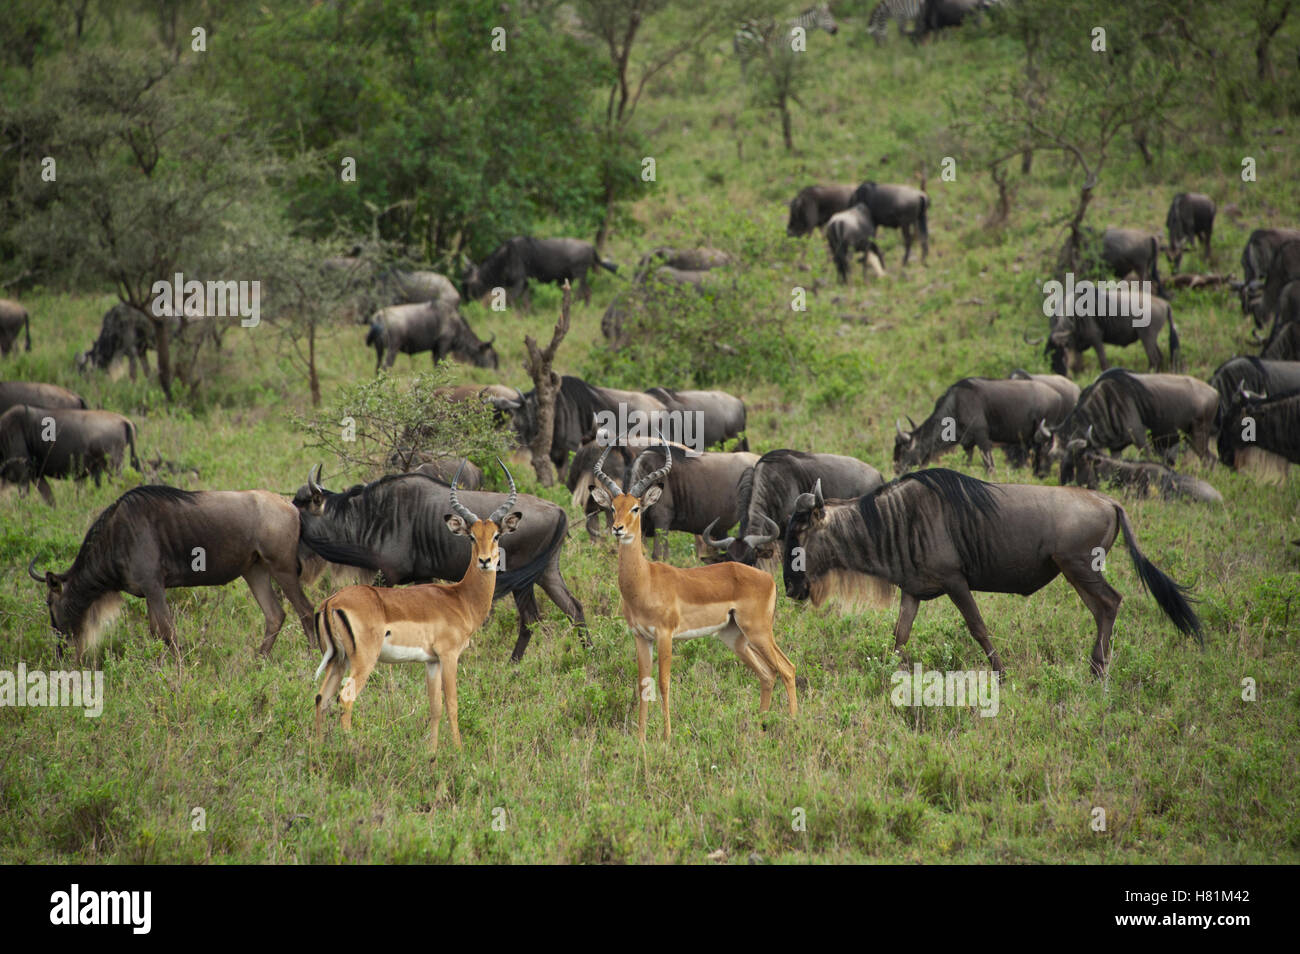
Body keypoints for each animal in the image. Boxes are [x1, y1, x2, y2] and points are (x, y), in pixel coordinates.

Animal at [312, 461, 521, 753]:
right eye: (471, 536)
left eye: (497, 535)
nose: (485, 561)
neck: (460, 599)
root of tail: (332, 602)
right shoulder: (449, 656)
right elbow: (452, 704)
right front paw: (459, 752)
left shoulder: (431, 662)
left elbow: (435, 707)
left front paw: (431, 753)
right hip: (363, 660)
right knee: (346, 696)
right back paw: (350, 748)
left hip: (337, 659)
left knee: (321, 697)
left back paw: (319, 750)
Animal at [589, 442, 797, 742]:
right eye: (614, 507)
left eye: (636, 508)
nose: (618, 529)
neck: (645, 580)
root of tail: (767, 578)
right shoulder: (641, 637)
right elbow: (643, 684)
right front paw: (640, 739)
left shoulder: (665, 635)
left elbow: (663, 682)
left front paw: (666, 737)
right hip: (735, 638)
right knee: (767, 674)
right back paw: (760, 727)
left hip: (758, 631)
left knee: (787, 669)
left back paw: (793, 724)